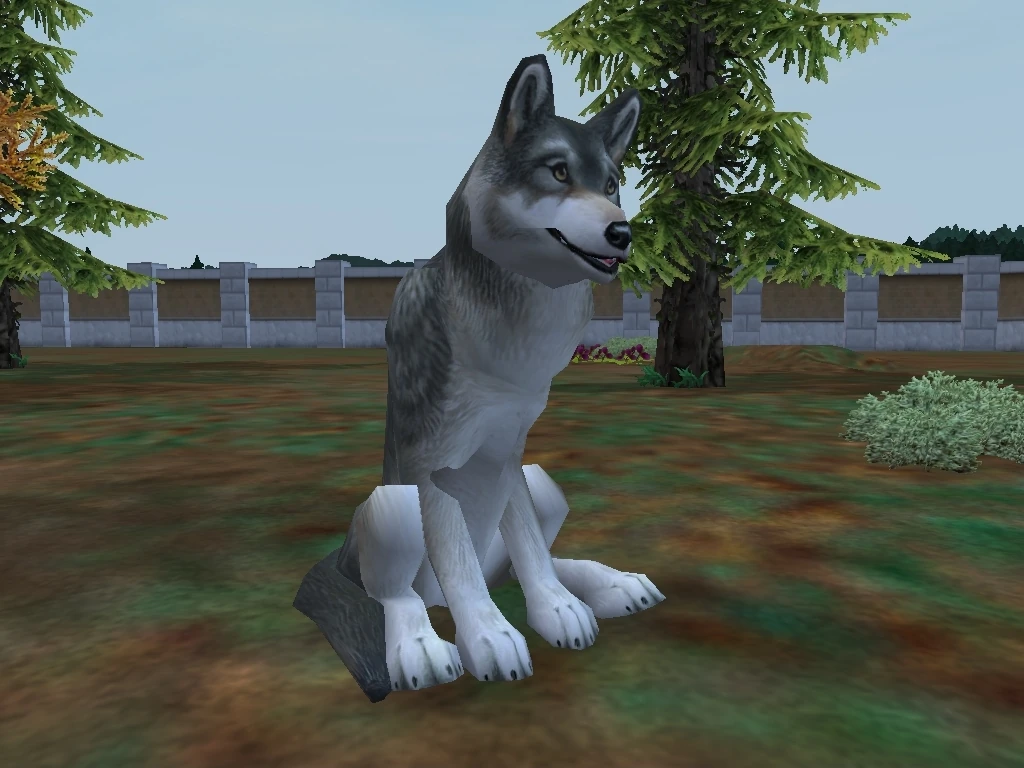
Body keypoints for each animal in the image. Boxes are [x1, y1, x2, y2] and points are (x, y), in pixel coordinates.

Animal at [295, 53, 664, 700]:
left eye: (612, 184)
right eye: (559, 172)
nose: (623, 232)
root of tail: (340, 554)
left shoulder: (508, 453)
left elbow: (533, 555)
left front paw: (555, 610)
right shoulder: (435, 467)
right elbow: (460, 565)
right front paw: (489, 638)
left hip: (540, 480)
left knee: (521, 562)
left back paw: (606, 583)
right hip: (393, 505)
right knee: (400, 595)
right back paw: (420, 647)